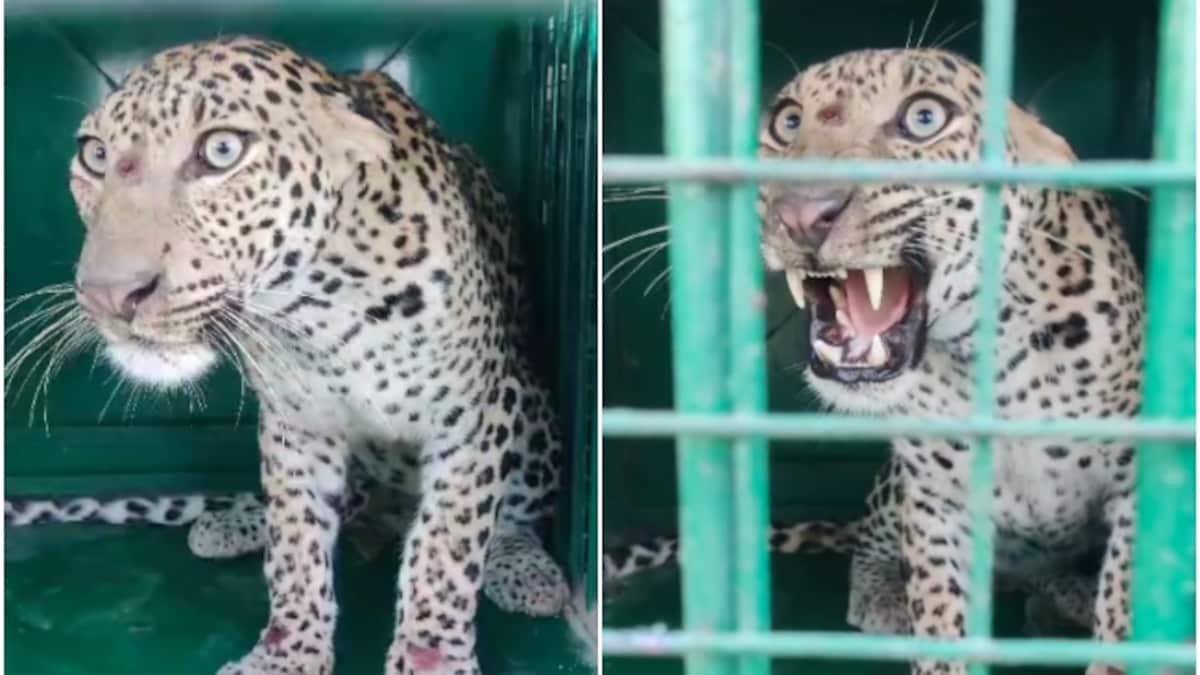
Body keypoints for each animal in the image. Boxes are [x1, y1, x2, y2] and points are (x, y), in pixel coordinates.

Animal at [8, 35, 576, 675]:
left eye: (221, 150)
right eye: (96, 155)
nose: (109, 295)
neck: (318, 309)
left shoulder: (472, 416)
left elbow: (447, 548)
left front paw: (434, 656)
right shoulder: (297, 425)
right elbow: (296, 540)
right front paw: (287, 652)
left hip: (531, 413)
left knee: (515, 516)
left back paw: (525, 568)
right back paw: (236, 520)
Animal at [605, 47, 1144, 675]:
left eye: (924, 118)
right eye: (788, 122)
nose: (801, 212)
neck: (987, 357)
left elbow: (1127, 613)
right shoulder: (934, 498)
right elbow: (939, 615)